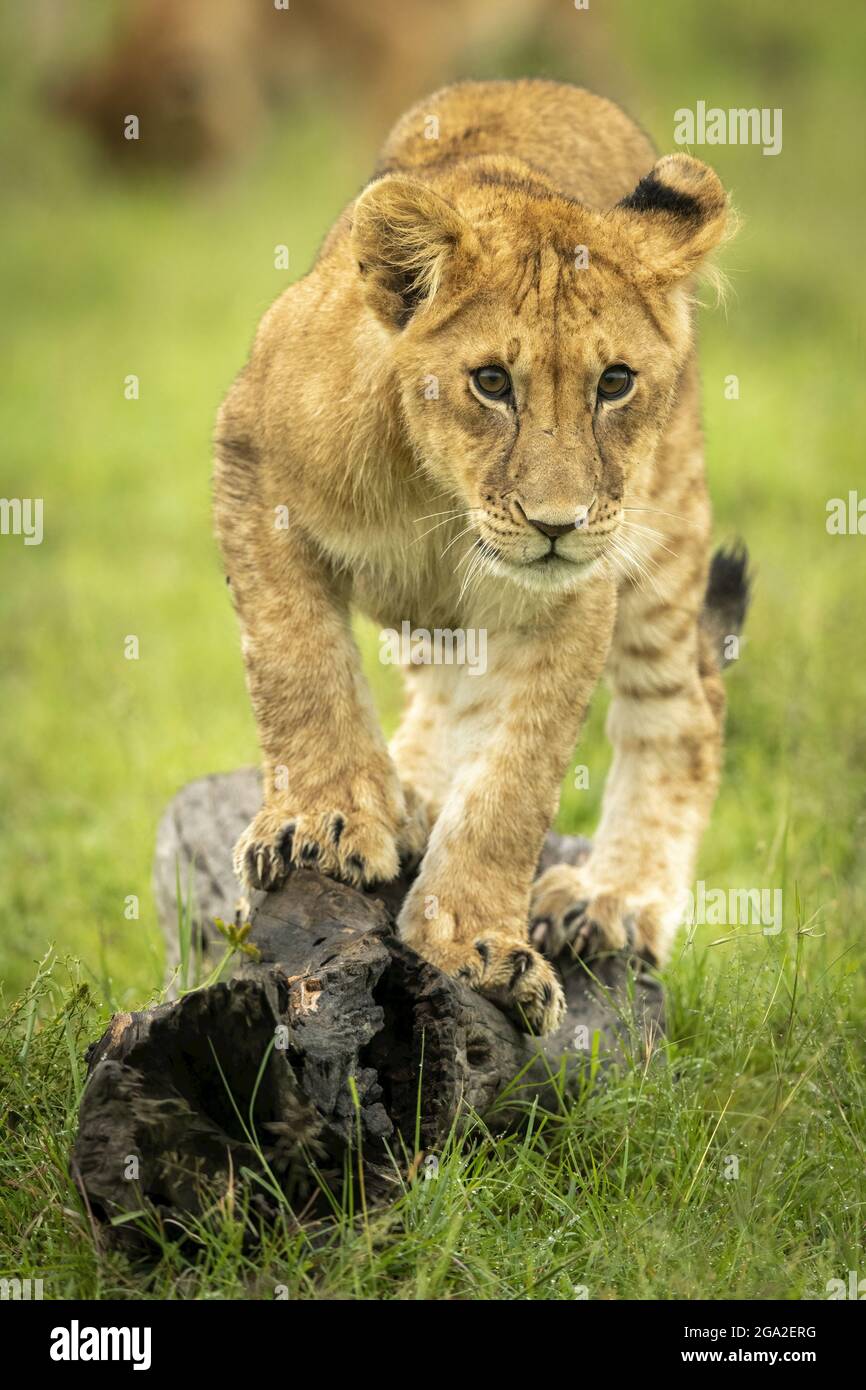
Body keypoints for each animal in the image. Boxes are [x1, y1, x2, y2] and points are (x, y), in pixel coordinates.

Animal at [213, 79, 742, 1035]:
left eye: (615, 382)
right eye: (492, 382)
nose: (558, 523)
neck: (438, 498)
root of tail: (541, 83)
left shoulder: (576, 596)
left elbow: (512, 785)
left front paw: (474, 946)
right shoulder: (249, 473)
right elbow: (299, 668)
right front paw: (327, 824)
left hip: (667, 527)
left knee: (685, 711)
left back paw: (615, 899)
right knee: (437, 693)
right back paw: (410, 800)